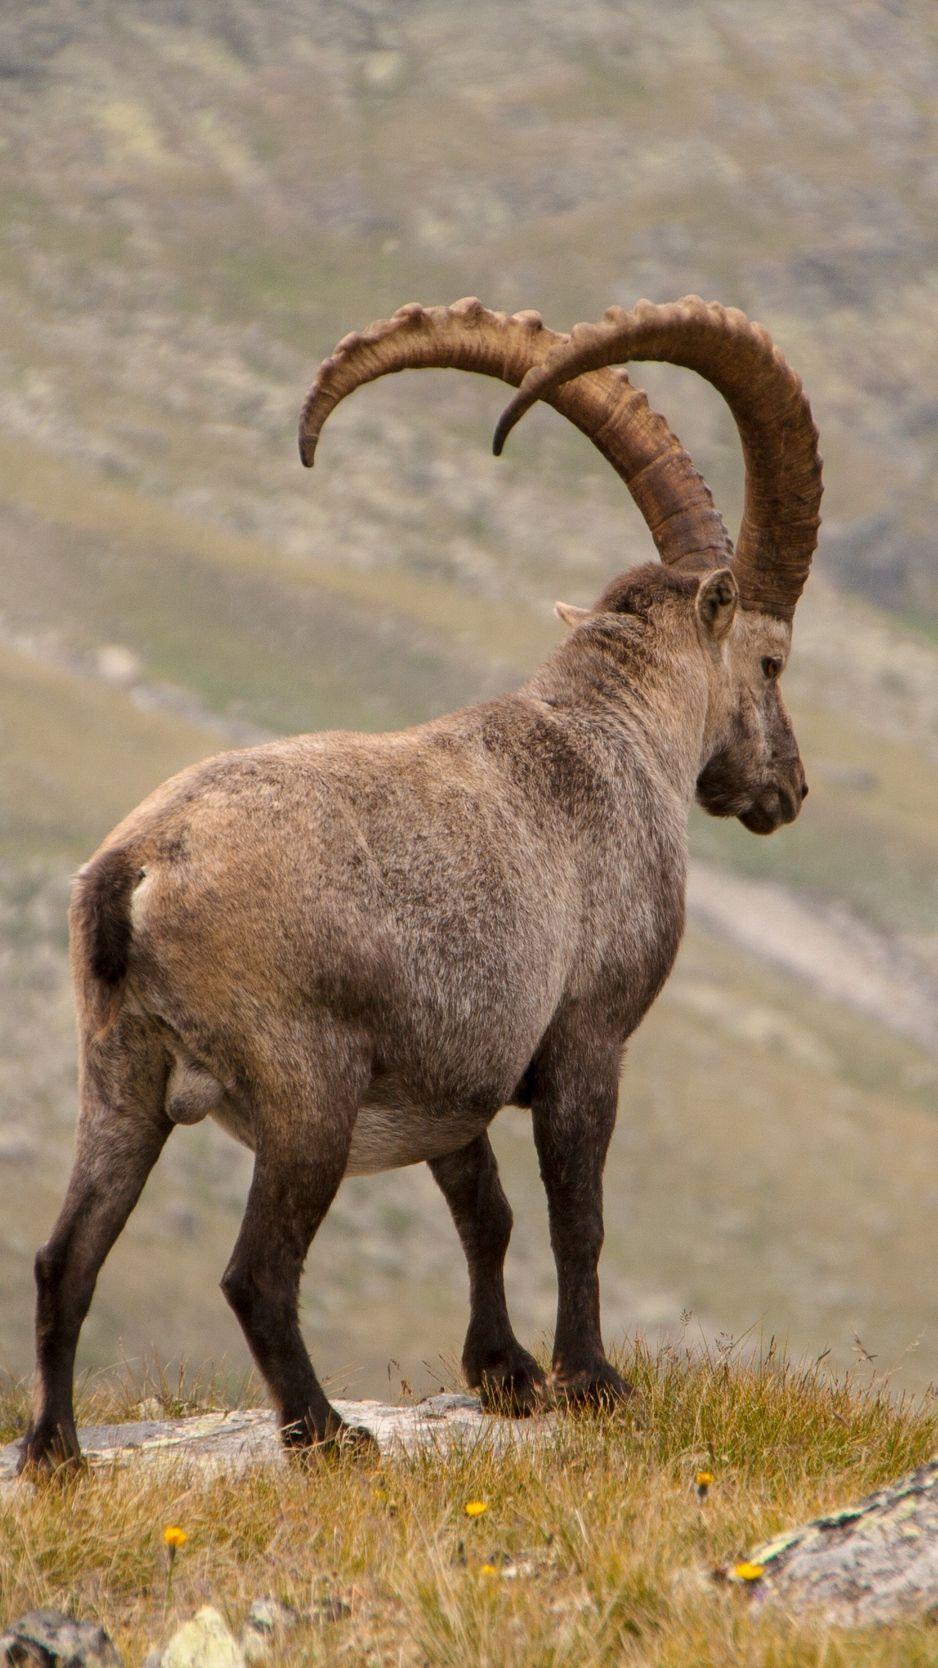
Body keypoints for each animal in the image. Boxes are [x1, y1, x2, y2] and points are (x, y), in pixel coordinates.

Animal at [19, 296, 821, 1469]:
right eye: (769, 661)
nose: (787, 789)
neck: (610, 734)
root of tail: (136, 870)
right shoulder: (586, 1037)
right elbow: (574, 1212)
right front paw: (593, 1381)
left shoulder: (459, 1072)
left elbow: (482, 1211)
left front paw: (505, 1374)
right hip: (304, 1090)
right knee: (255, 1273)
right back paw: (325, 1434)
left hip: (119, 1074)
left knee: (63, 1258)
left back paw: (57, 1454)